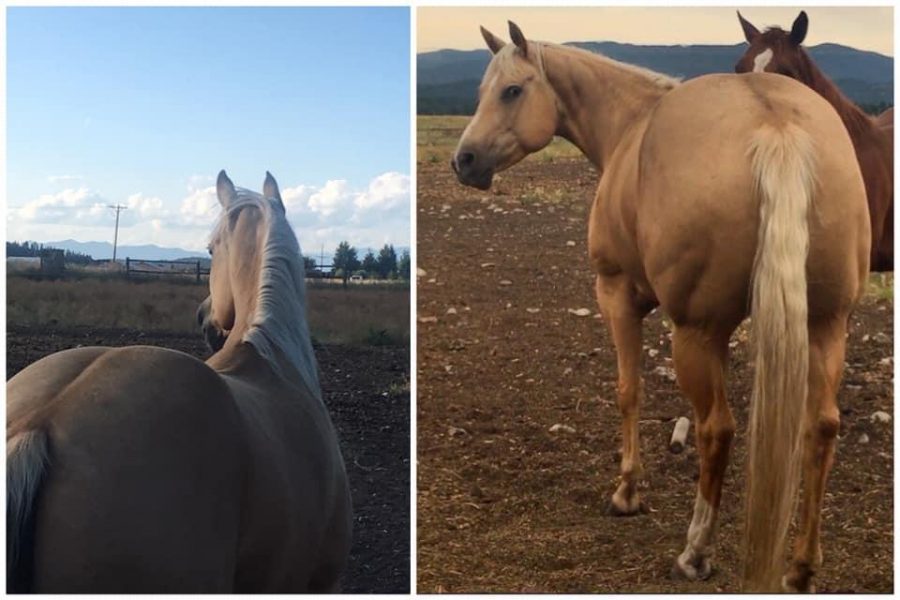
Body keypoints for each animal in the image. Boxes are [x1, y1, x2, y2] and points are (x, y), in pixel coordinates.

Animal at [451, 22, 869, 592]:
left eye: (511, 90)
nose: (464, 161)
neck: (630, 126)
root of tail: (776, 127)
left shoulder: (617, 295)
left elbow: (629, 391)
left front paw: (627, 491)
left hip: (696, 334)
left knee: (717, 429)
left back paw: (695, 551)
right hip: (825, 326)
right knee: (821, 427)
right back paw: (802, 566)